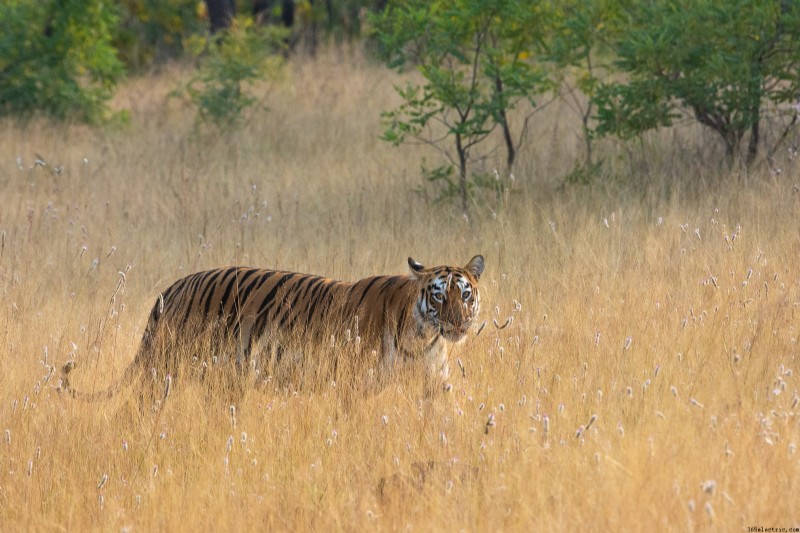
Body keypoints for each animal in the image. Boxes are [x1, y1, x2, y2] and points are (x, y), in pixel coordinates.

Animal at [59, 256, 484, 402]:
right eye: (439, 296)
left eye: (465, 295)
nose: (458, 323)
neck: (421, 335)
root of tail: (174, 287)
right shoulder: (351, 385)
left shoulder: (435, 384)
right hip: (162, 370)